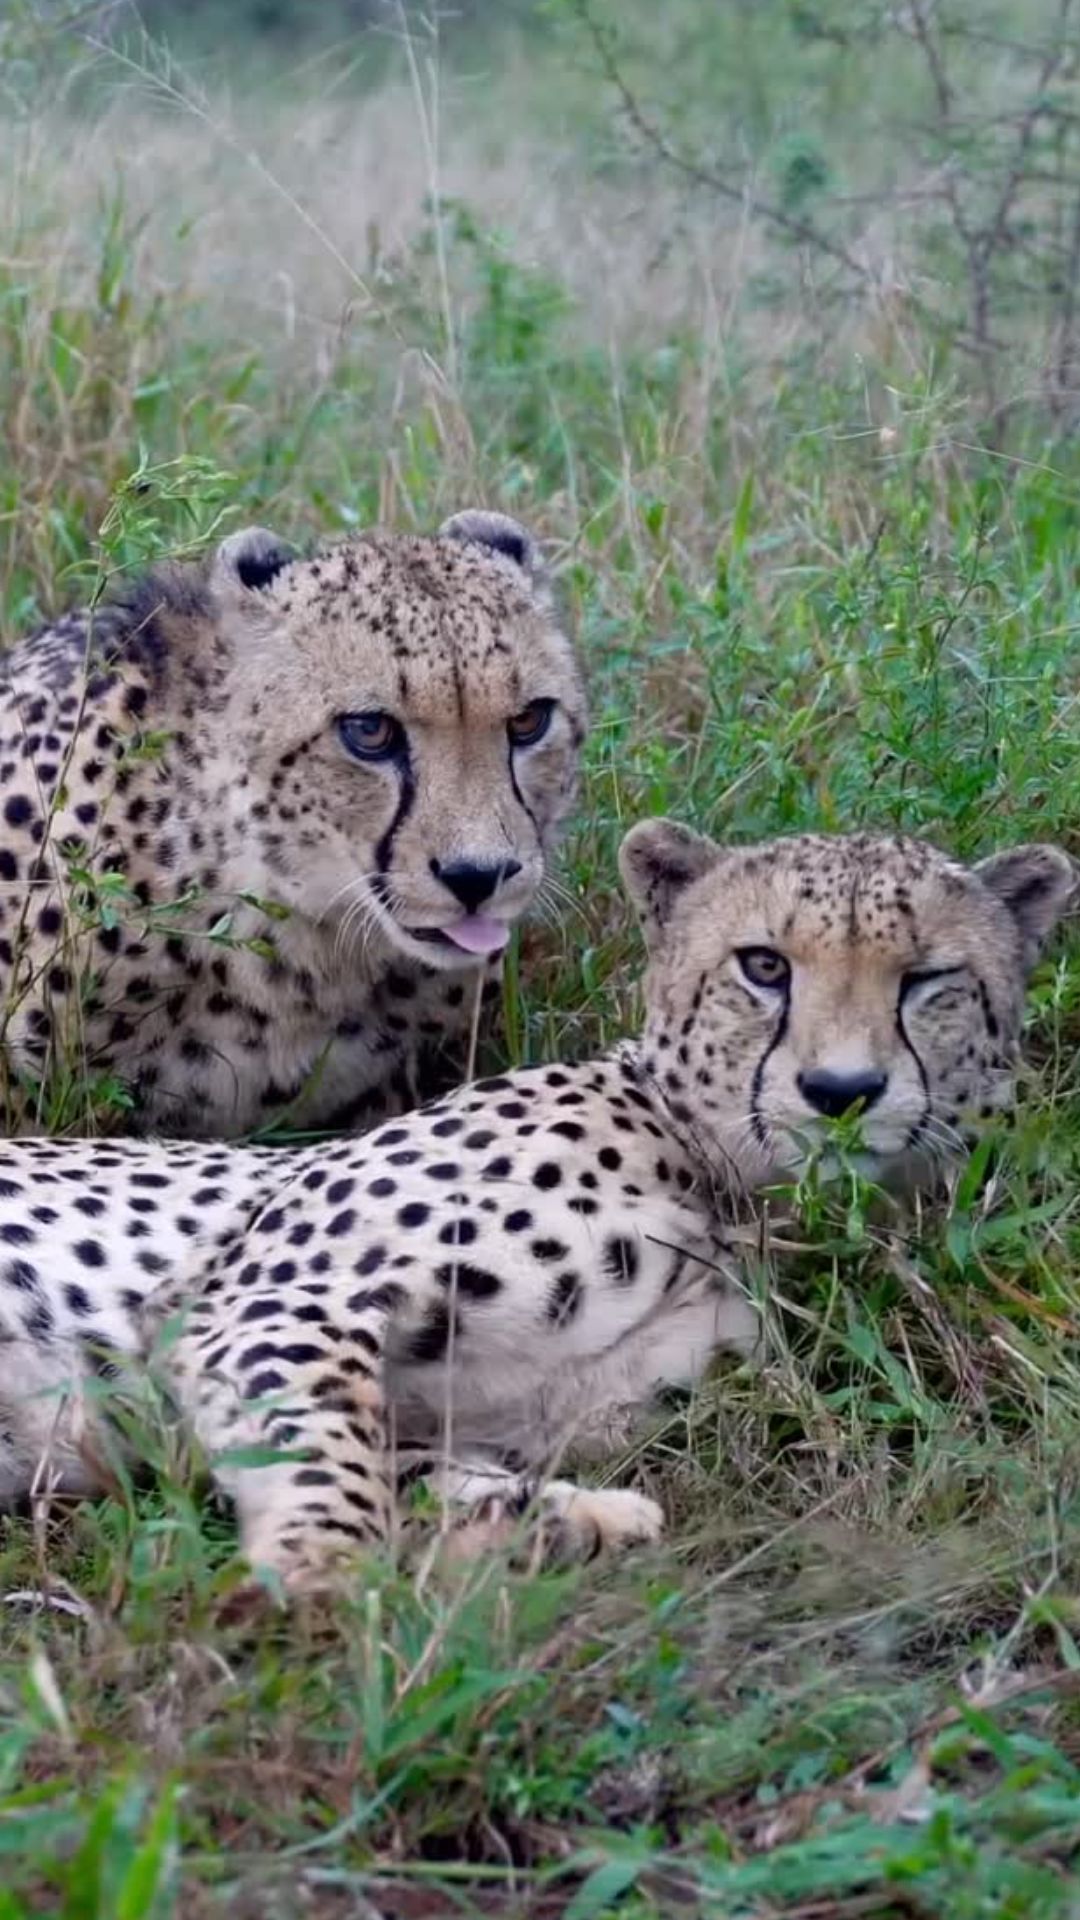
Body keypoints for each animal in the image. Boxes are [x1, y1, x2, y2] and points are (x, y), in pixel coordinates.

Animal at [0, 820, 1072, 1591]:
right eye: (764, 967)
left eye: (927, 981)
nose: (841, 1091)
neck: (727, 1193)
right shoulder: (268, 1303)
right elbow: (331, 1463)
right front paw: (322, 1577)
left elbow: (398, 1465)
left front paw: (559, 1522)